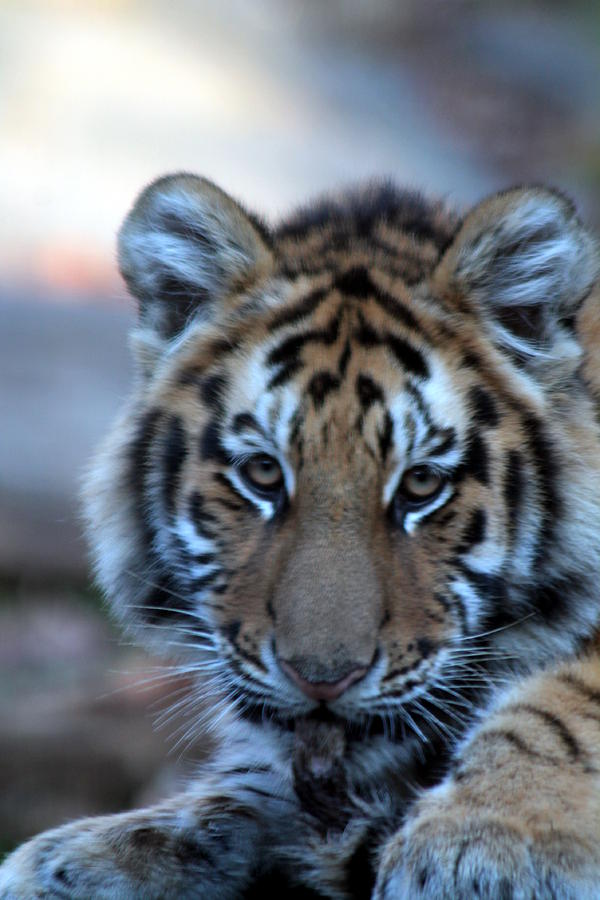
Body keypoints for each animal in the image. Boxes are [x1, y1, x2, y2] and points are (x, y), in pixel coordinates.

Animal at [2, 173, 600, 899]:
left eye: (421, 484)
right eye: (263, 473)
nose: (322, 680)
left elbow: (566, 701)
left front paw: (479, 848)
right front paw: (75, 860)